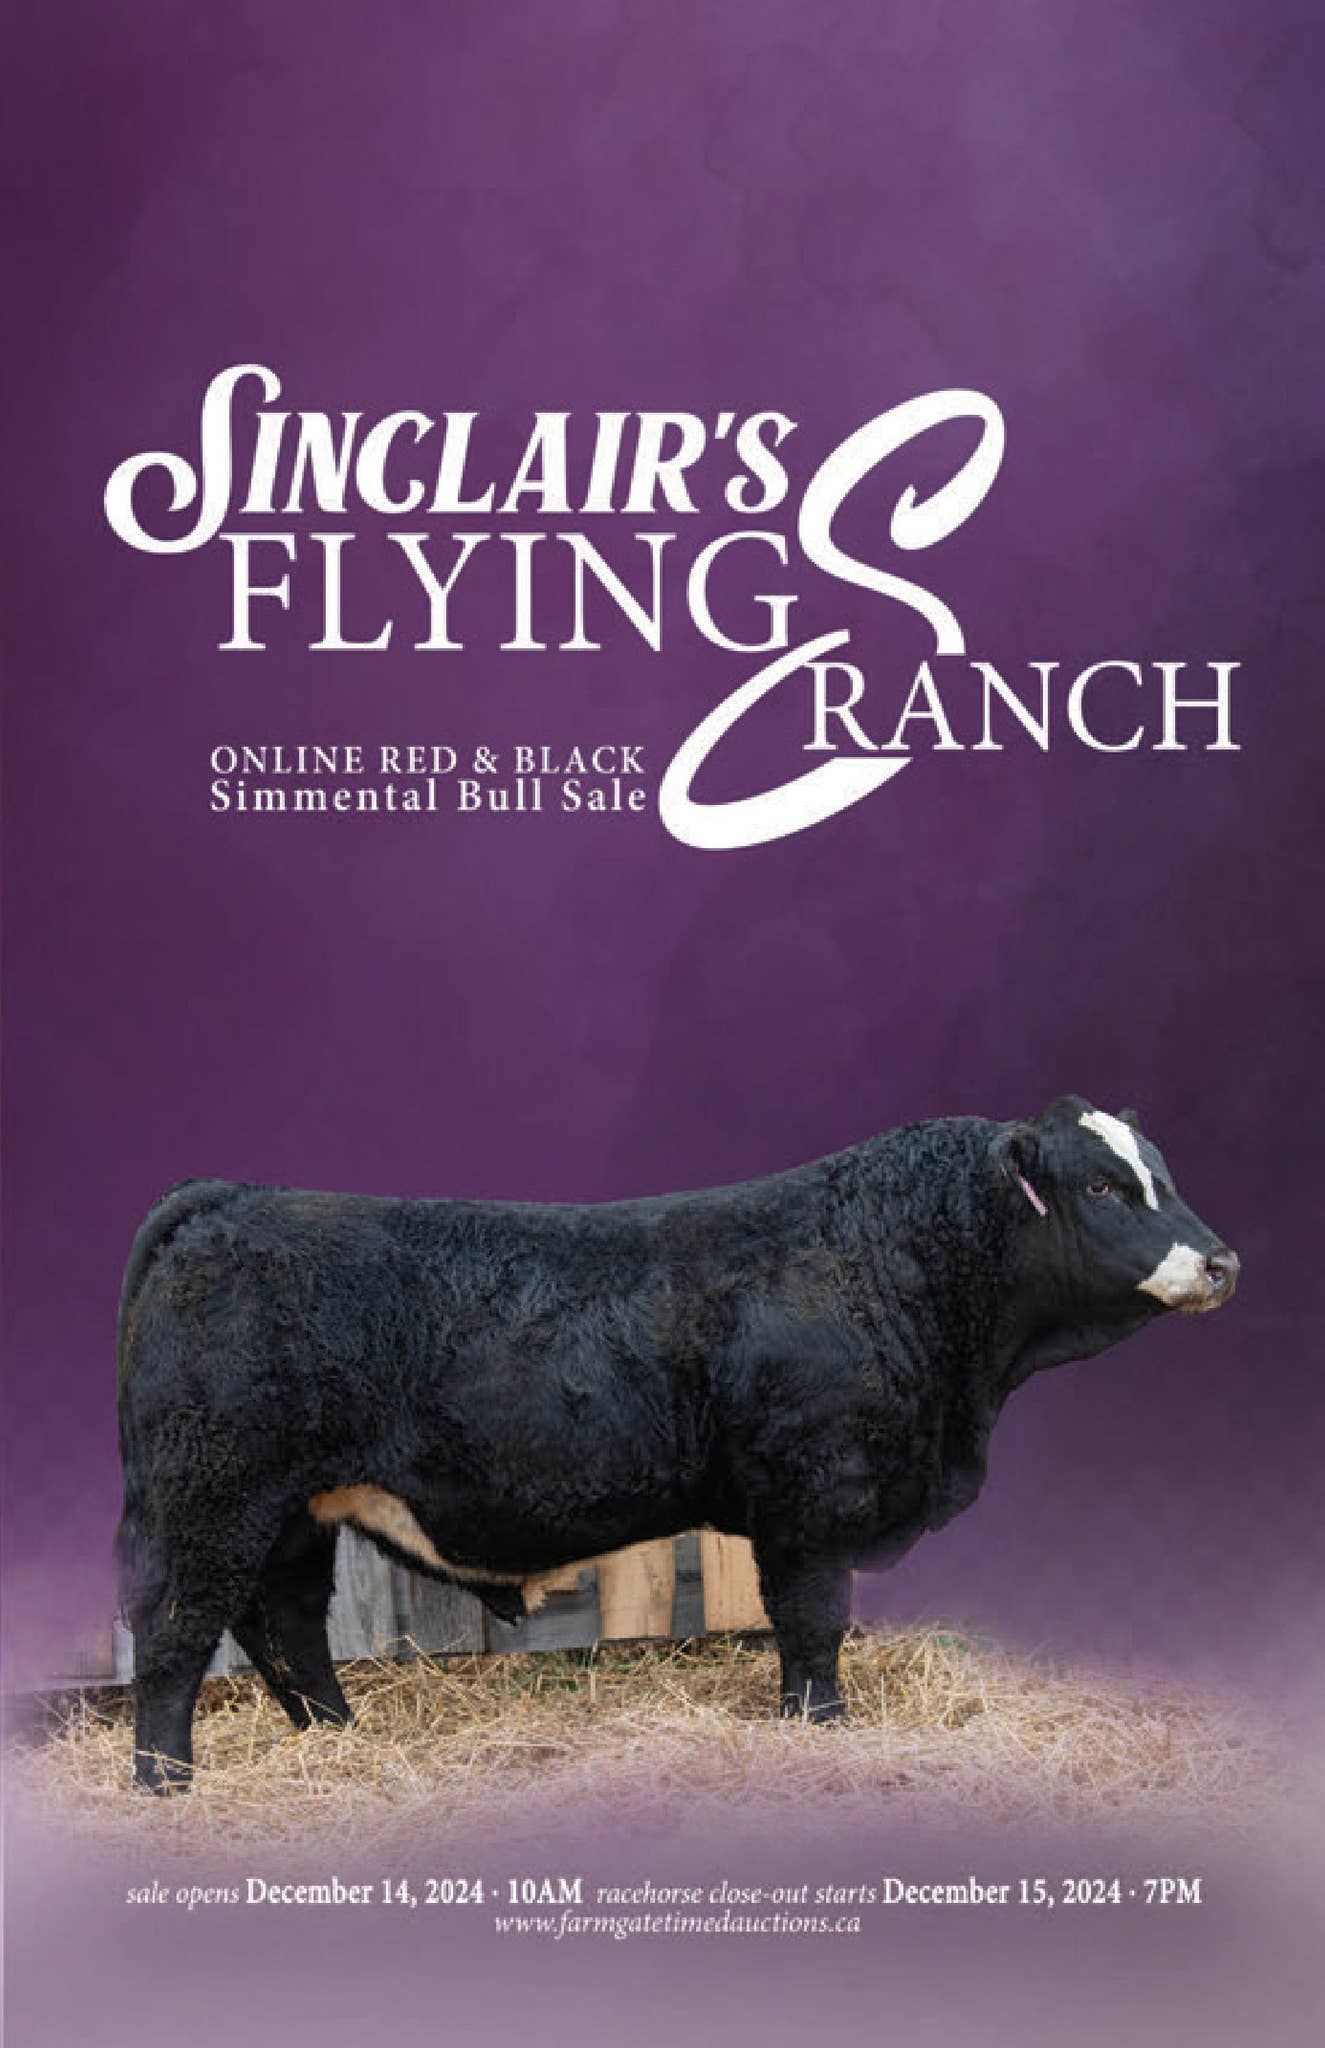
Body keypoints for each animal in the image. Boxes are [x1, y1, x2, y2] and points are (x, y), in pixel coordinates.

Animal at [115, 1094, 1238, 1791]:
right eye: (1101, 1187)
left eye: (1158, 1172)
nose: (1220, 1261)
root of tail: (230, 1200)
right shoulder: (812, 1498)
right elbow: (812, 1623)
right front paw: (822, 1727)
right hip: (211, 1498)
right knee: (174, 1636)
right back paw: (167, 1783)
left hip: (294, 1512)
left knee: (285, 1624)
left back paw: (339, 1741)